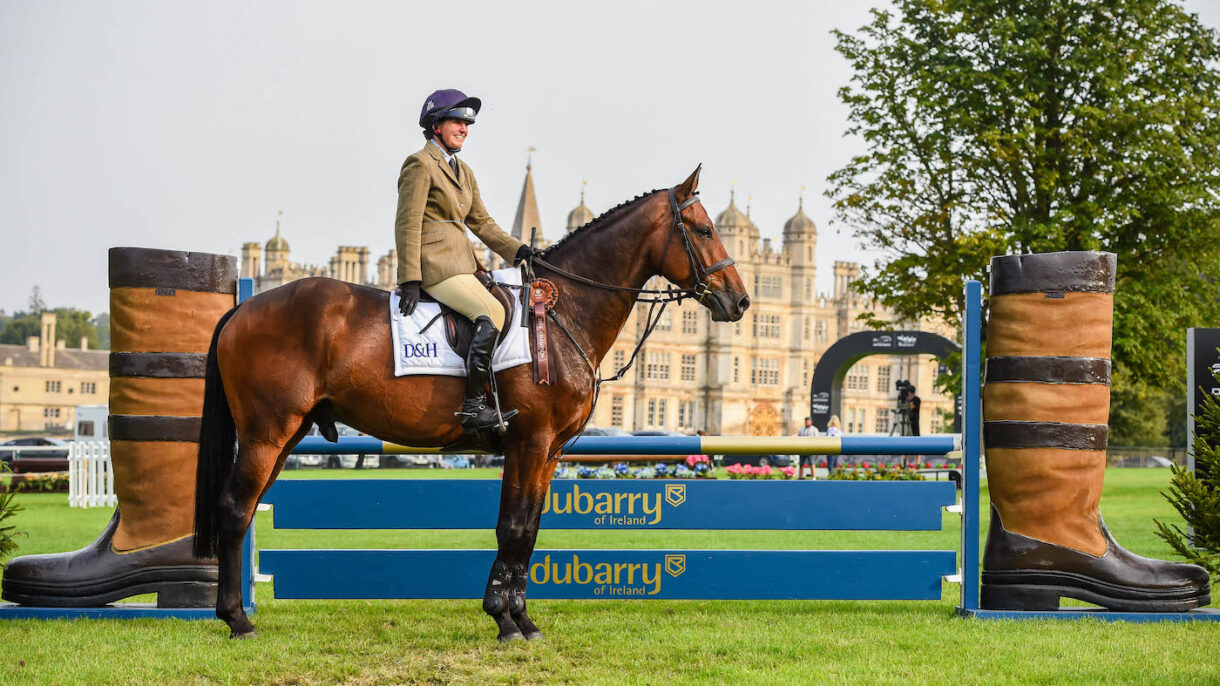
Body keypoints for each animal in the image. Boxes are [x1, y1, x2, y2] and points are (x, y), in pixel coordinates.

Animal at [193, 166, 749, 640]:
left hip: (286, 435)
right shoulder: (530, 441)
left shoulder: (549, 452)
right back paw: (237, 619)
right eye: (703, 230)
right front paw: (504, 620)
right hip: (266, 433)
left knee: (243, 509)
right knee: (236, 509)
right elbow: (513, 527)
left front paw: (521, 619)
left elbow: (528, 530)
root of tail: (246, 306)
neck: (563, 309)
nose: (740, 301)